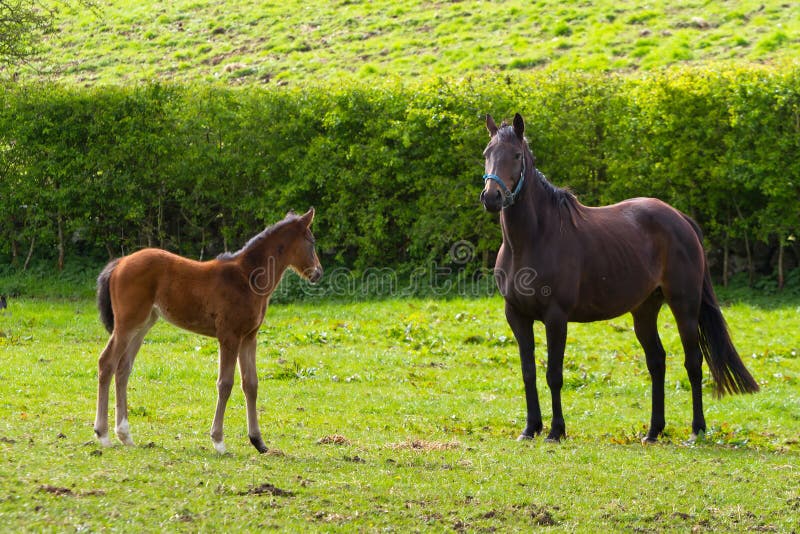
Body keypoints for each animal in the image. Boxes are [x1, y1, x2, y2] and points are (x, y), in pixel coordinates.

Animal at [94, 208, 322, 454]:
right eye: (312, 241)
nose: (318, 273)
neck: (246, 277)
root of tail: (120, 263)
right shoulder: (229, 336)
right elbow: (225, 383)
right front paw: (218, 441)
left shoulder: (249, 337)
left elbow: (251, 384)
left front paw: (258, 442)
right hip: (127, 324)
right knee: (107, 362)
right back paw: (103, 434)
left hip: (143, 324)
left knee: (123, 368)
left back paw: (125, 435)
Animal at [480, 114, 759, 443]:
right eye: (487, 153)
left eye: (516, 155)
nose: (491, 197)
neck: (533, 239)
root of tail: (680, 219)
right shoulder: (517, 316)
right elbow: (528, 372)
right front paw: (530, 428)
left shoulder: (555, 317)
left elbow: (554, 374)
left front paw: (556, 431)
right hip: (645, 309)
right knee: (657, 361)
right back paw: (653, 431)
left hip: (685, 306)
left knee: (693, 362)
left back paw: (697, 430)